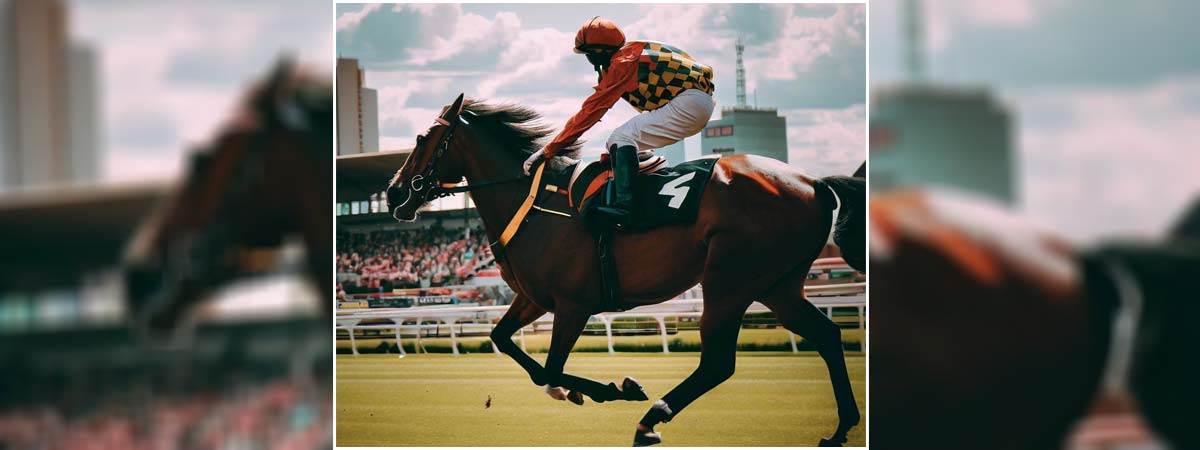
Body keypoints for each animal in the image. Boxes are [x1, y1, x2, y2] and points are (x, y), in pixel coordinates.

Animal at [384, 94, 864, 446]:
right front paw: (590, 389)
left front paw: (614, 388)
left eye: (422, 137)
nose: (393, 194)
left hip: (729, 280)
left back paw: (651, 419)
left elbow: (550, 367)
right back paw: (840, 428)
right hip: (777, 285)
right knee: (826, 335)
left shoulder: (573, 304)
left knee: (718, 362)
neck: (535, 204)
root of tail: (813, 182)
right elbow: (506, 342)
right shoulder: (534, 298)